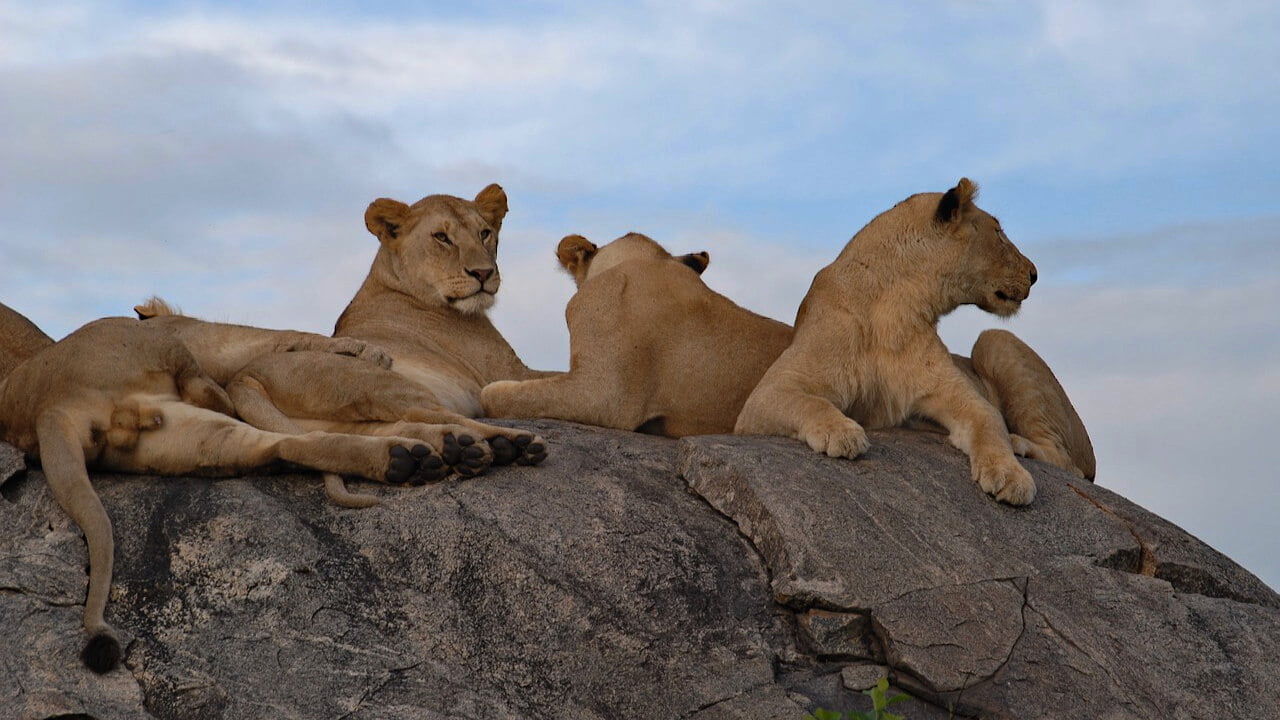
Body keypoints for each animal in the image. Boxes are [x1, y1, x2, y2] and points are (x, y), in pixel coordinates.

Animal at [0, 312, 448, 673]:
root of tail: (48, 409)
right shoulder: (206, 336)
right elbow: (281, 336)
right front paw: (365, 350)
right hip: (143, 342)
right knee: (222, 393)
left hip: (188, 437)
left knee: (285, 444)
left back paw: (406, 461)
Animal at [735, 178, 1095, 505]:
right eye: (998, 232)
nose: (1034, 274)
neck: (894, 306)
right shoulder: (767, 395)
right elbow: (811, 402)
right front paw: (842, 432)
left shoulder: (955, 392)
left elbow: (989, 420)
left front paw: (1008, 473)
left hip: (995, 339)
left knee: (1069, 464)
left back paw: (1019, 444)